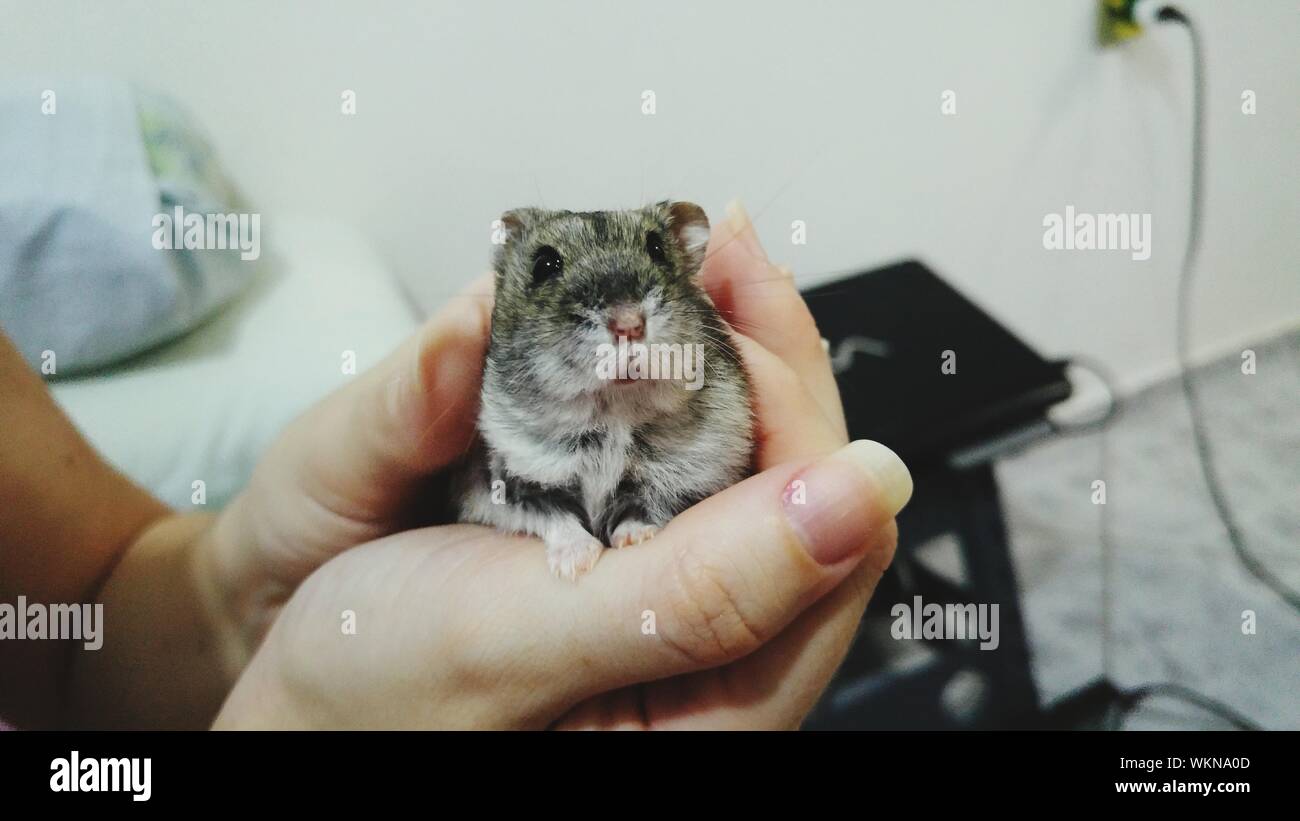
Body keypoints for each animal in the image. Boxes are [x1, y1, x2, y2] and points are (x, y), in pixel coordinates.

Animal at [456, 201, 754, 579]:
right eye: (544, 265)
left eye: (657, 248)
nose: (629, 324)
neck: (613, 409)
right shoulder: (510, 482)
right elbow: (555, 517)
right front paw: (574, 565)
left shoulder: (693, 472)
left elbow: (643, 507)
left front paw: (635, 539)